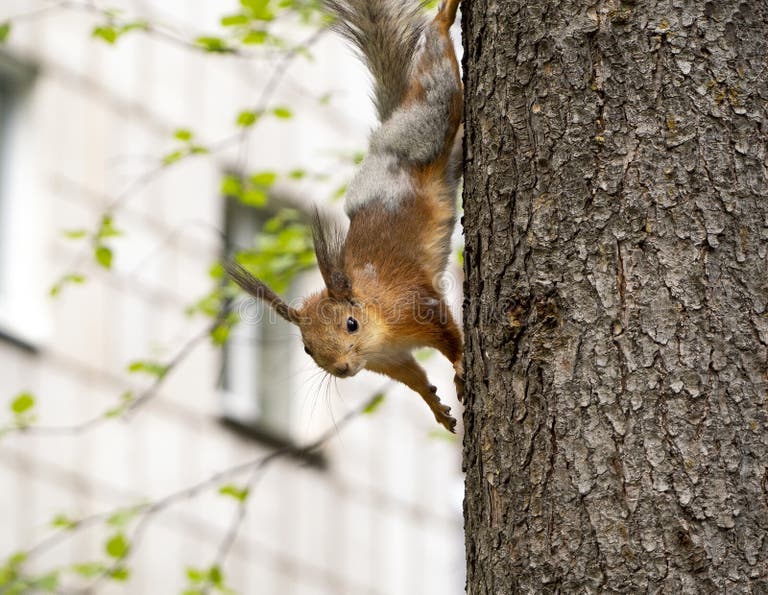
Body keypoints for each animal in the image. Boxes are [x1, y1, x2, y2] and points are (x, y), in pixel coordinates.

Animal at [225, 0, 464, 432]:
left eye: (350, 324)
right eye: (306, 348)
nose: (341, 368)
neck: (379, 329)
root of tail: (388, 129)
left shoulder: (416, 304)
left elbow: (449, 334)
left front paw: (459, 365)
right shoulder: (390, 359)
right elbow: (415, 377)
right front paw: (436, 406)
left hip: (430, 125)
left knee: (438, 77)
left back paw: (444, 17)